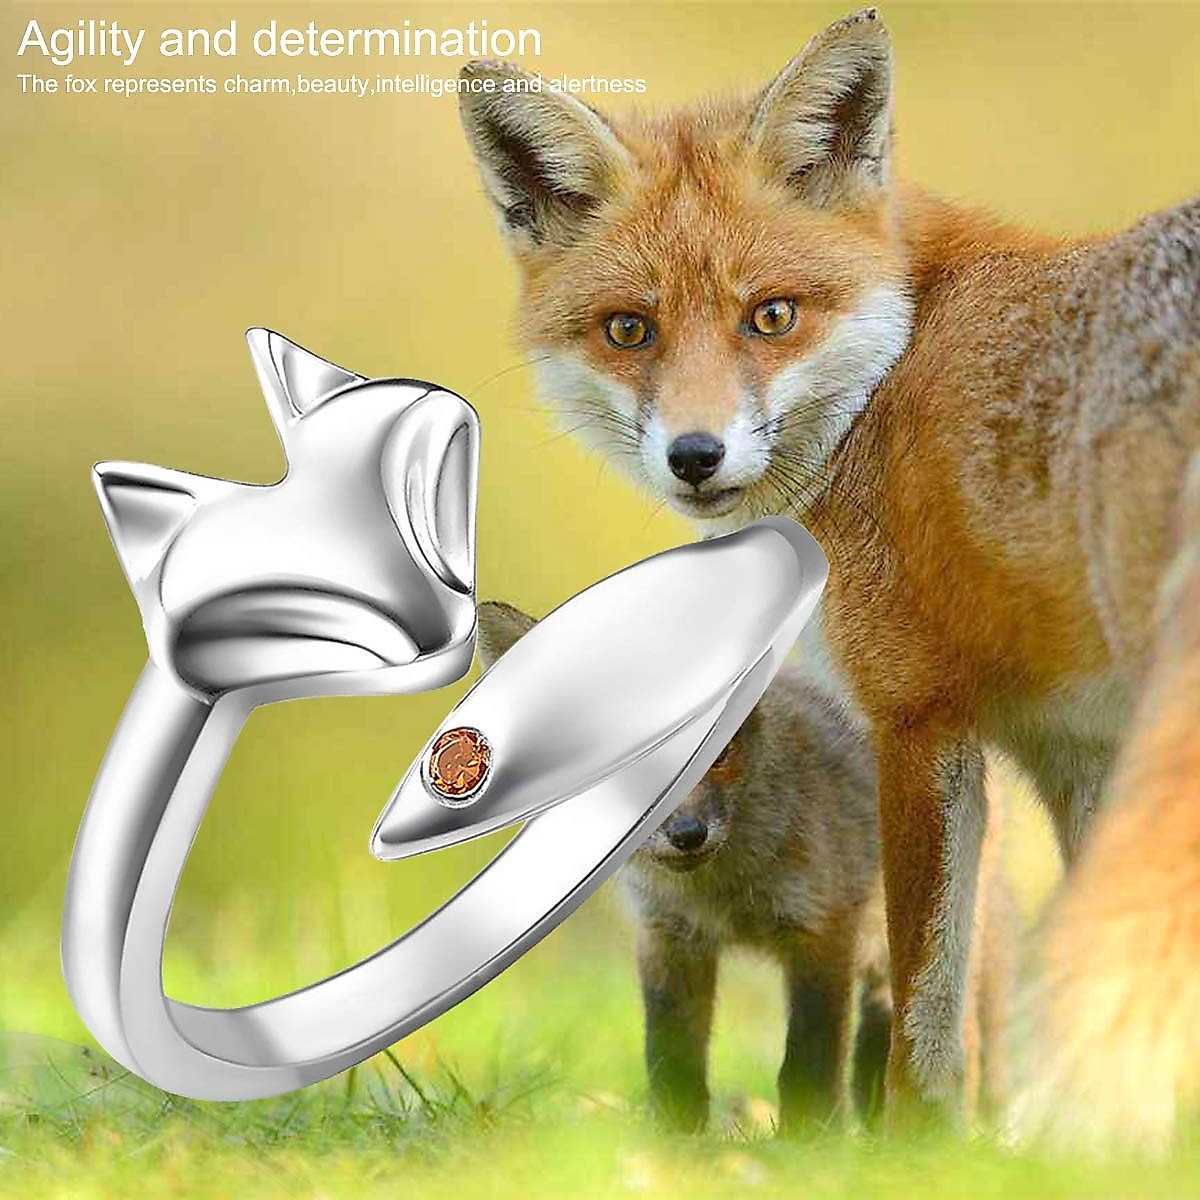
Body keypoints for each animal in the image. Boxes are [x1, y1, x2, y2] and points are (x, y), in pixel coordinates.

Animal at [475, 600, 1012, 1134]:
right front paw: (678, 1138)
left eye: (718, 749)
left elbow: (809, 1060)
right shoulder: (668, 935)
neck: (723, 892)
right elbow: (672, 1054)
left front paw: (808, 1138)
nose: (688, 834)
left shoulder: (822, 929)